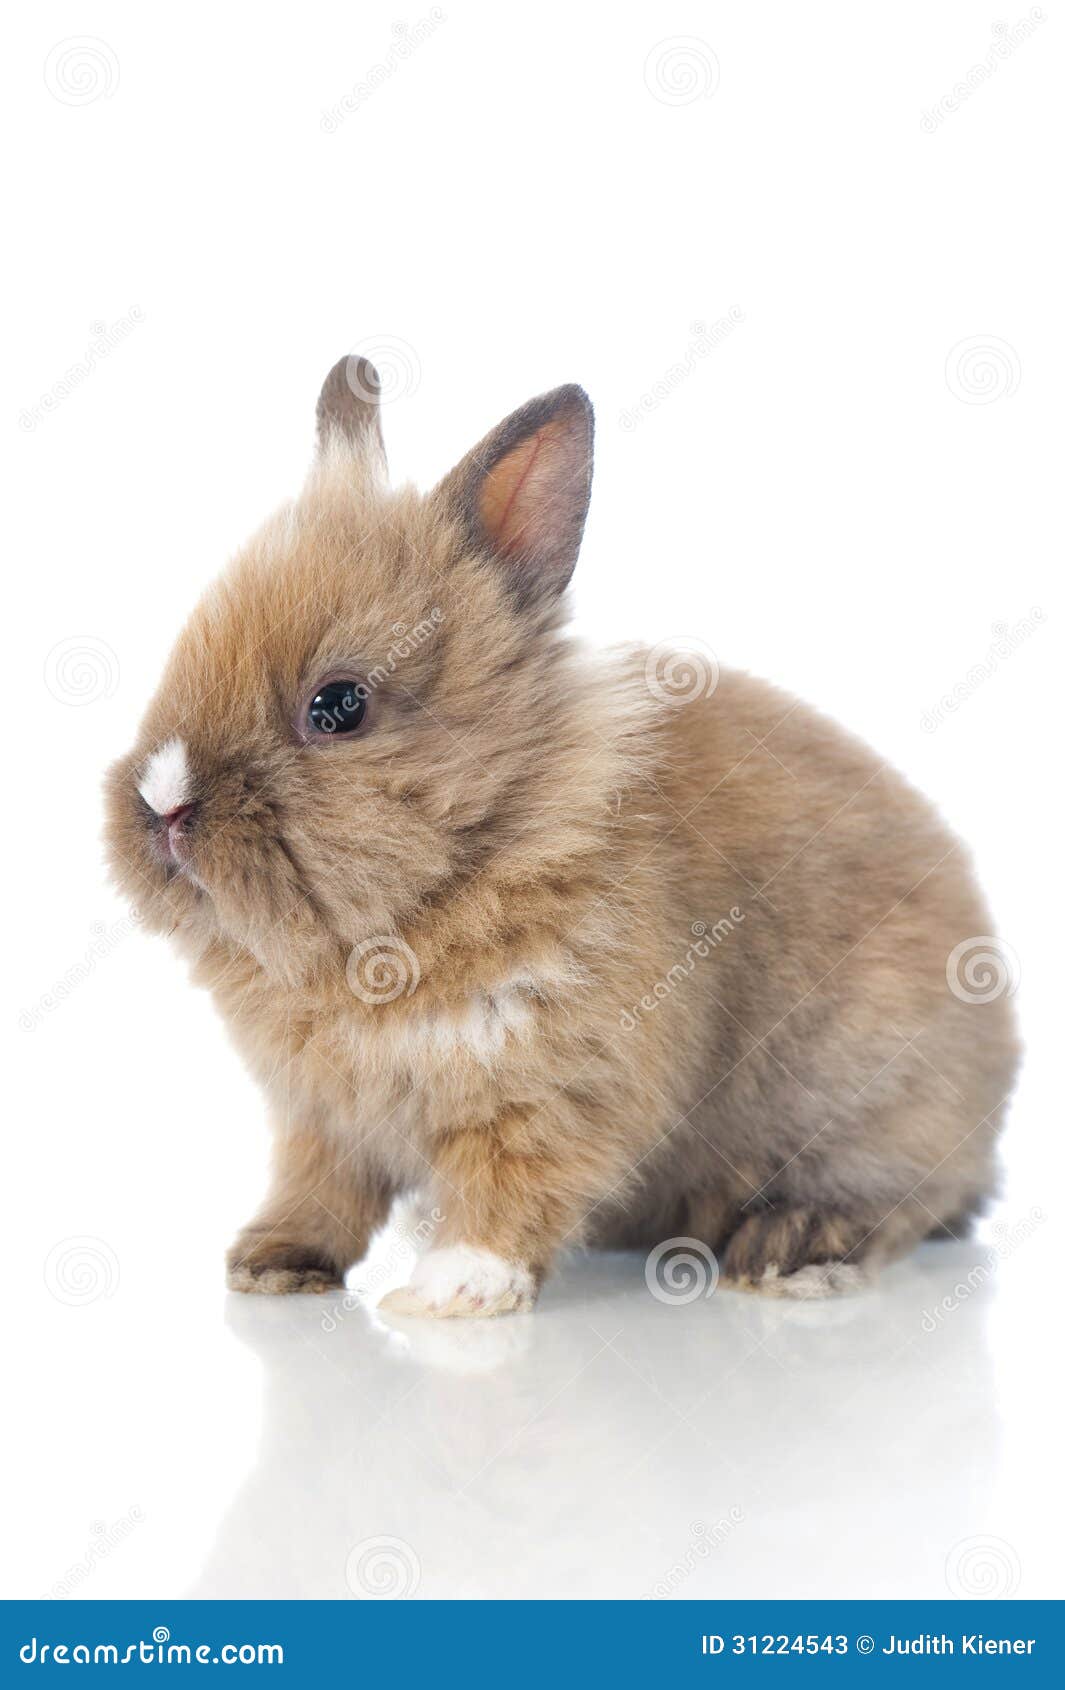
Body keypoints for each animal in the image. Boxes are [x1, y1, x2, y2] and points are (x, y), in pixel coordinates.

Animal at [103, 353, 1020, 1317]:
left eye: (339, 705)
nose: (164, 803)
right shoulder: (322, 1120)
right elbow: (321, 1192)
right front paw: (270, 1266)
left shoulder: (547, 1089)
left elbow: (508, 1187)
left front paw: (452, 1290)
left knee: (905, 1200)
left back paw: (792, 1248)